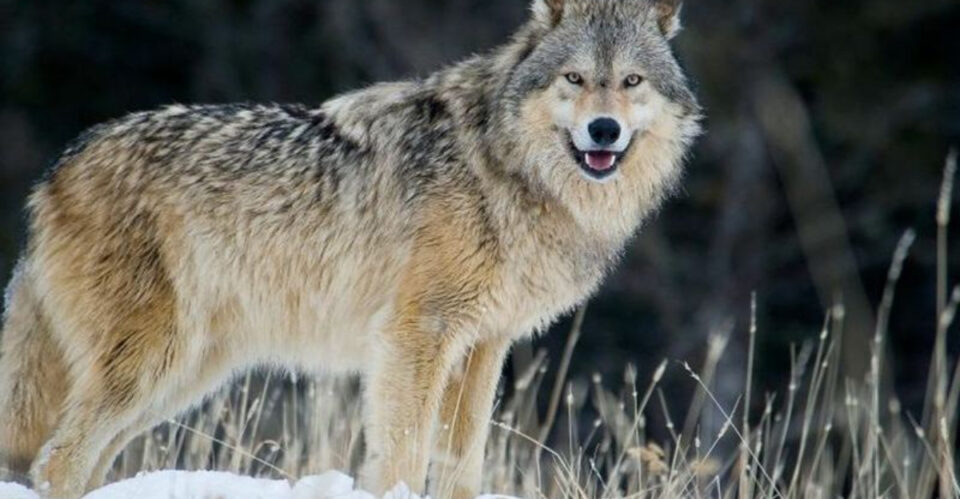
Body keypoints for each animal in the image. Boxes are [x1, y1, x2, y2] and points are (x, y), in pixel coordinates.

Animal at [0, 0, 700, 497]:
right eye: (574, 78)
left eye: (631, 81)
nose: (603, 129)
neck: (502, 168)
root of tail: (56, 169)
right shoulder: (416, 336)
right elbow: (402, 455)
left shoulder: (483, 345)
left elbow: (461, 463)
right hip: (152, 364)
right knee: (57, 461)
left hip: (181, 377)